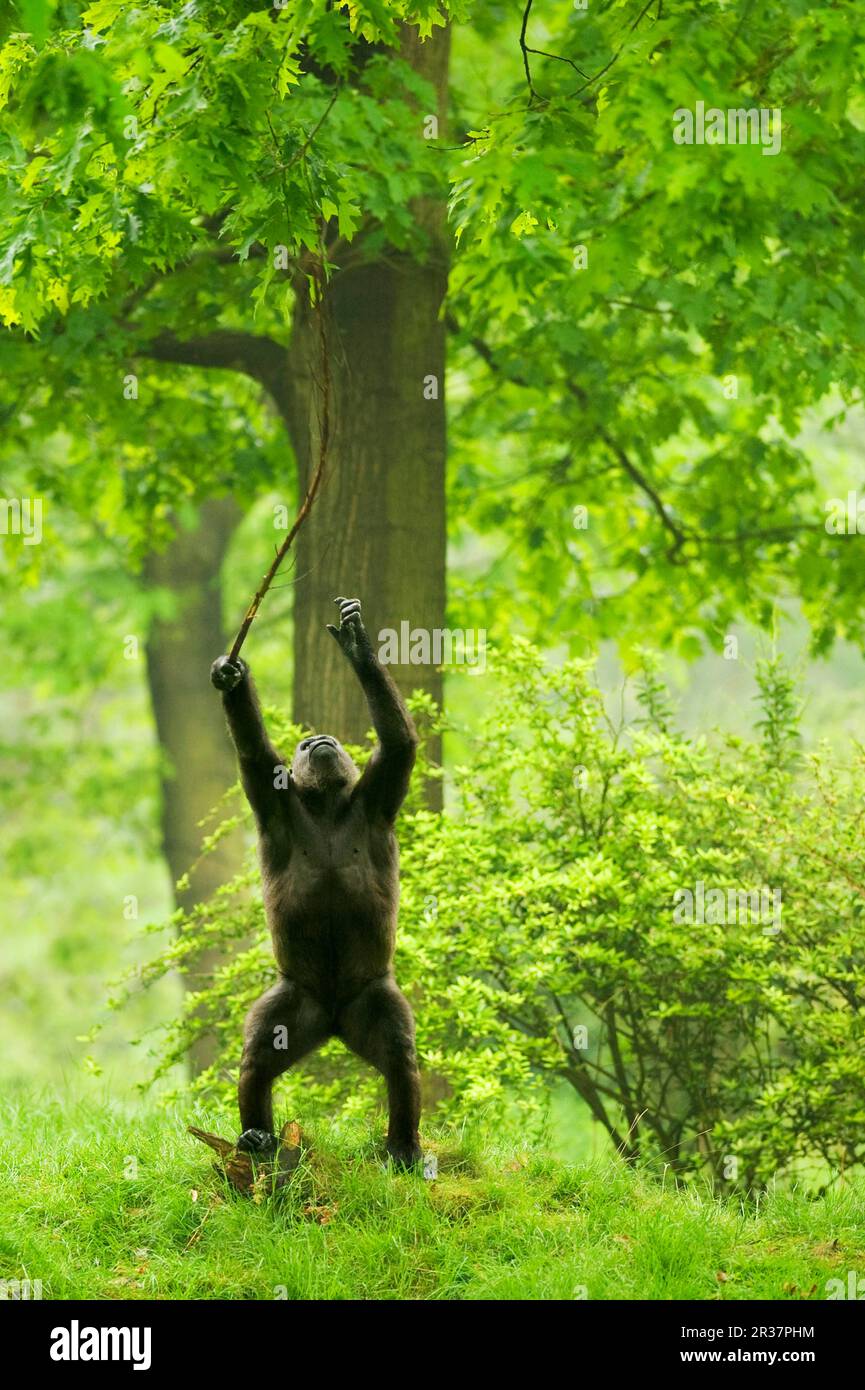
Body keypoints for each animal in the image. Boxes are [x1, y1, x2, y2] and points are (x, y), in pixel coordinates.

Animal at [210, 596, 422, 1168]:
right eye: (303, 745)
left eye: (323, 741)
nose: (317, 739)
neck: (326, 802)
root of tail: (331, 1020)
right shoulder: (272, 797)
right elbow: (252, 753)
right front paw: (232, 679)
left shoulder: (378, 792)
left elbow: (399, 743)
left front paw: (358, 646)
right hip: (293, 1001)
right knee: (258, 1058)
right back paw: (257, 1139)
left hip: (371, 998)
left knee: (399, 1055)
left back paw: (403, 1146)